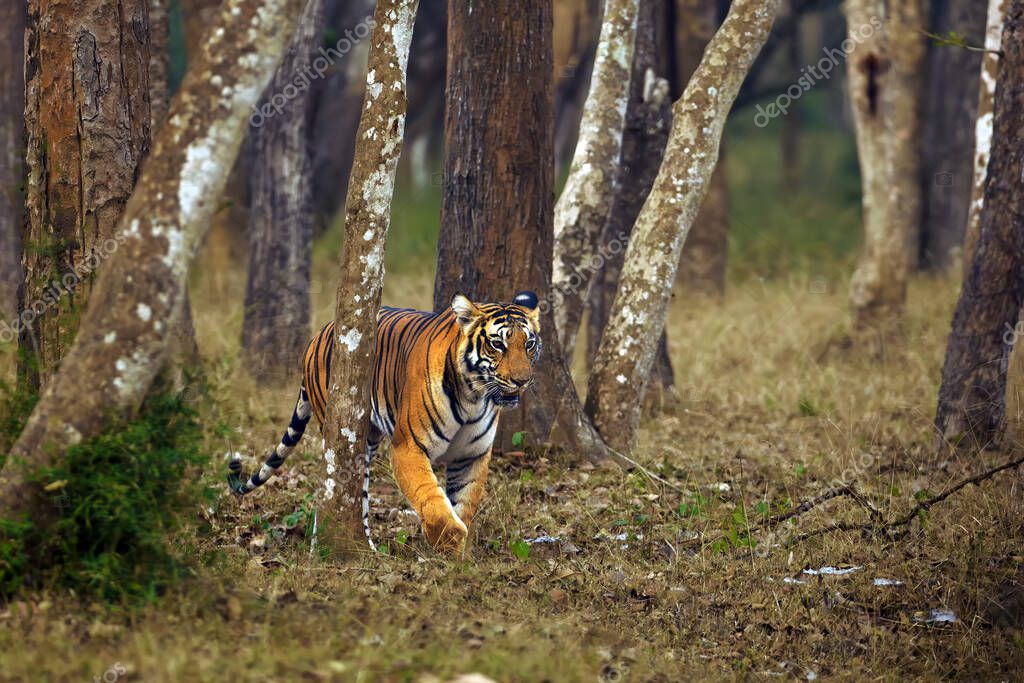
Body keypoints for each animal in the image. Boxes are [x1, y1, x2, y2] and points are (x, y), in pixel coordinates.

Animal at [228, 290, 542, 554]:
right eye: (498, 344)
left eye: (528, 344)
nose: (523, 381)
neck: (473, 397)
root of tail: (321, 332)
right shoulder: (408, 446)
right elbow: (432, 500)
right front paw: (448, 541)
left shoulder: (472, 454)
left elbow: (463, 503)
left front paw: (455, 558)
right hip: (348, 435)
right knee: (342, 490)